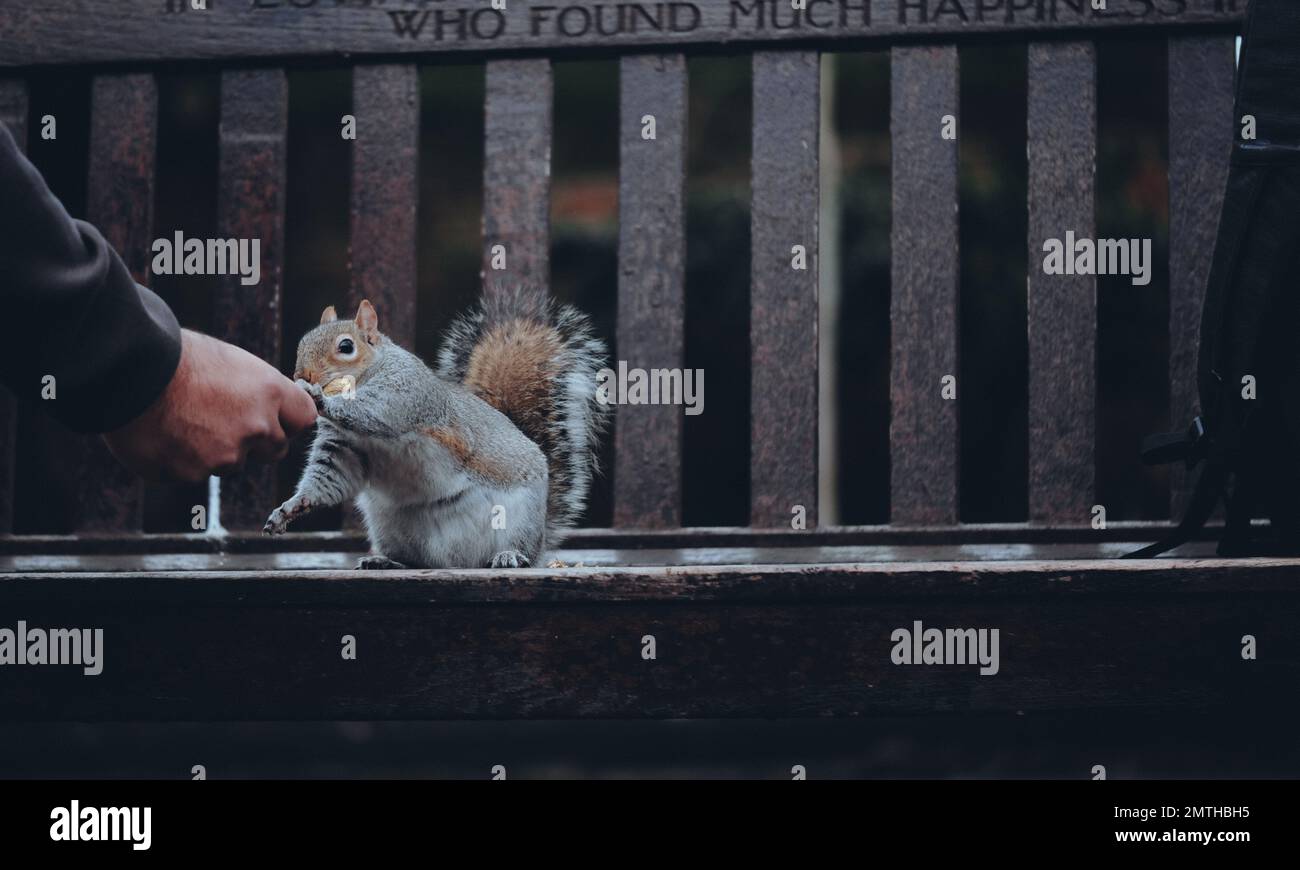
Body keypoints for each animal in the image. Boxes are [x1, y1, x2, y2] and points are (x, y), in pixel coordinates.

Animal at [263, 286, 610, 569]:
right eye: (303, 343)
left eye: (346, 347)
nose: (302, 375)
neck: (367, 374)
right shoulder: (342, 446)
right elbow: (332, 475)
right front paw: (291, 507)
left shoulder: (405, 395)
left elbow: (375, 412)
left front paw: (319, 396)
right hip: (388, 525)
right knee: (416, 560)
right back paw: (386, 561)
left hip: (519, 518)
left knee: (519, 547)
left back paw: (510, 556)